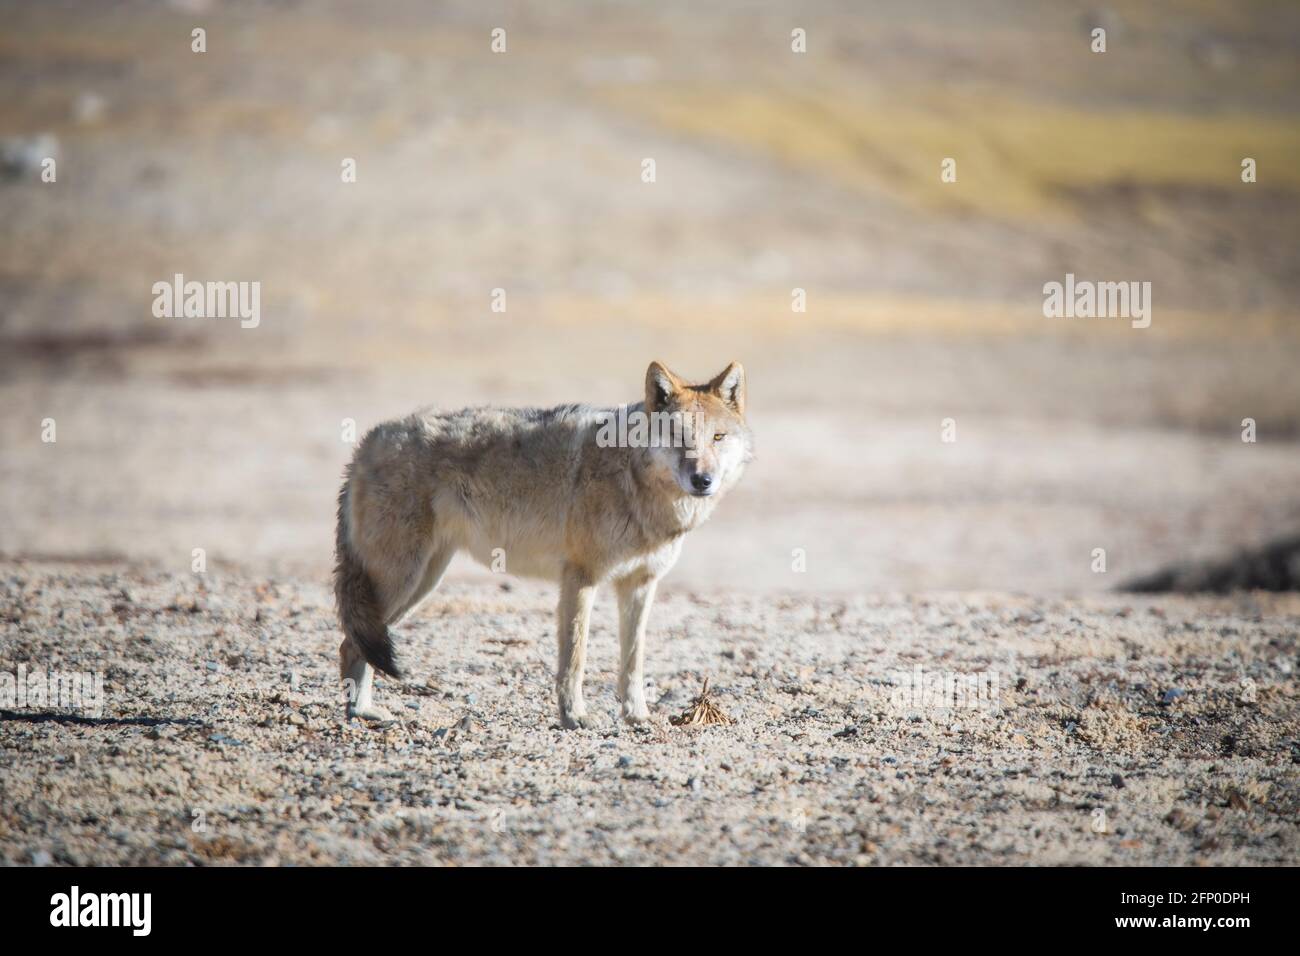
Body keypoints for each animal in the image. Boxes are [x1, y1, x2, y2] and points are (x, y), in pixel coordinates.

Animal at [334, 361, 751, 729]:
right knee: (351, 643)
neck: (632, 480)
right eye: (679, 438)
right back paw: (359, 714)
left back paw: (364, 711)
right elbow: (574, 660)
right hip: (402, 581)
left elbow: (633, 661)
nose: (703, 480)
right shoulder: (580, 577)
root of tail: (369, 440)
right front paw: (574, 718)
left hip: (423, 582)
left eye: (717, 438)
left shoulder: (639, 585)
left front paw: (637, 717)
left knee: (356, 642)